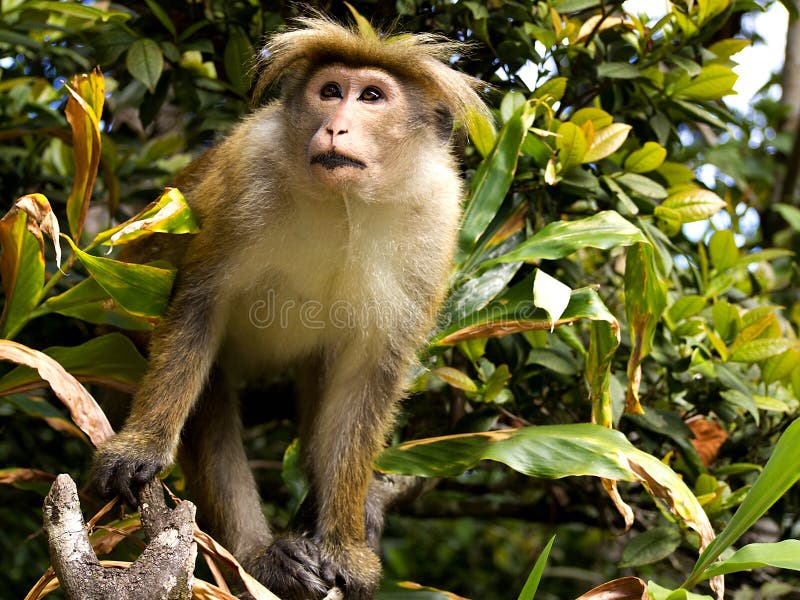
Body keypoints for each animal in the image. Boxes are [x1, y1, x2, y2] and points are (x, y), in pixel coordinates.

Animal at [91, 13, 490, 600]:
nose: (336, 127)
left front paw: (345, 546)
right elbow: (199, 305)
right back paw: (261, 557)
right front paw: (139, 448)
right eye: (331, 91)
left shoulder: (436, 219)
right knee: (208, 395)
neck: (345, 204)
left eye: (372, 96)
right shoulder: (249, 175)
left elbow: (367, 376)